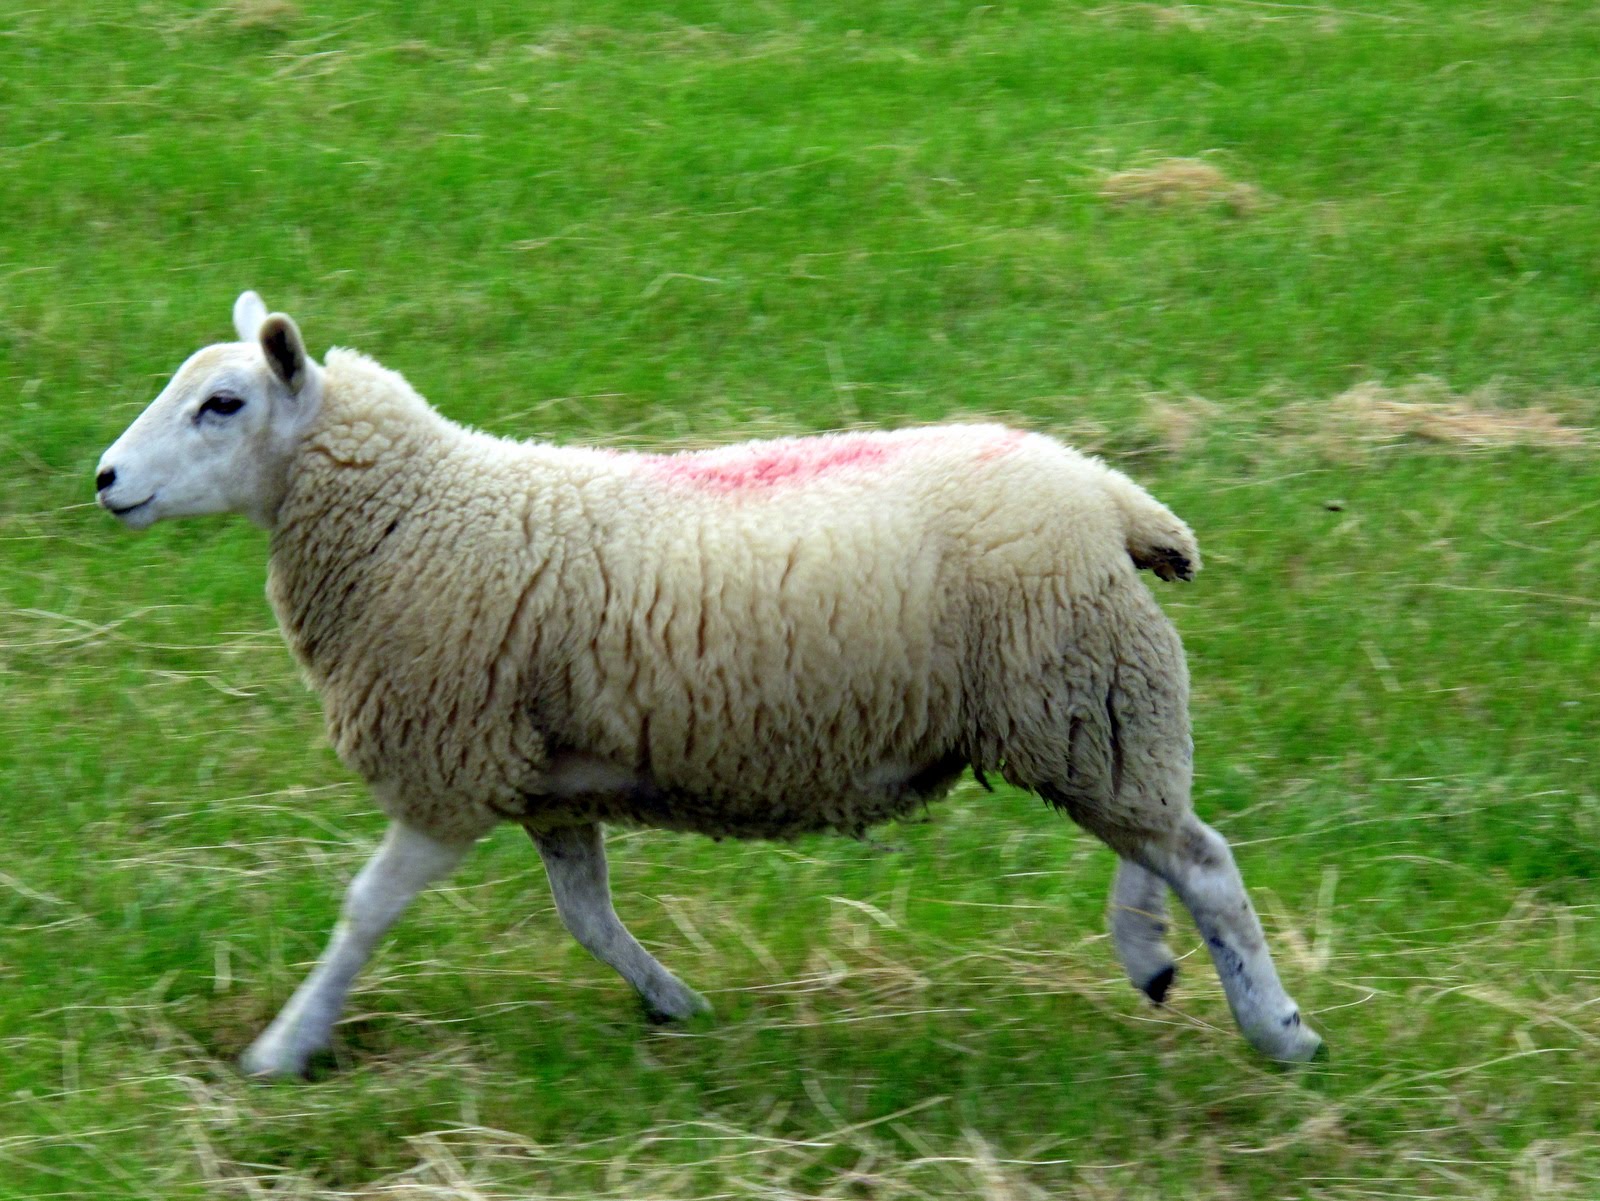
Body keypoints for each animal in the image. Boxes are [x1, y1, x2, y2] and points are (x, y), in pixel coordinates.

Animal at [95, 291, 1324, 1077]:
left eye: (222, 404)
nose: (105, 479)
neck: (421, 508)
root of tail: (1112, 495)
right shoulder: (550, 782)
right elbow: (585, 916)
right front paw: (671, 1000)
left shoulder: (451, 768)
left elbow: (363, 911)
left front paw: (283, 1046)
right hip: (1091, 705)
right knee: (1158, 836)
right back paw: (1149, 952)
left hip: (1074, 689)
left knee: (1204, 863)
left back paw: (1278, 1031)